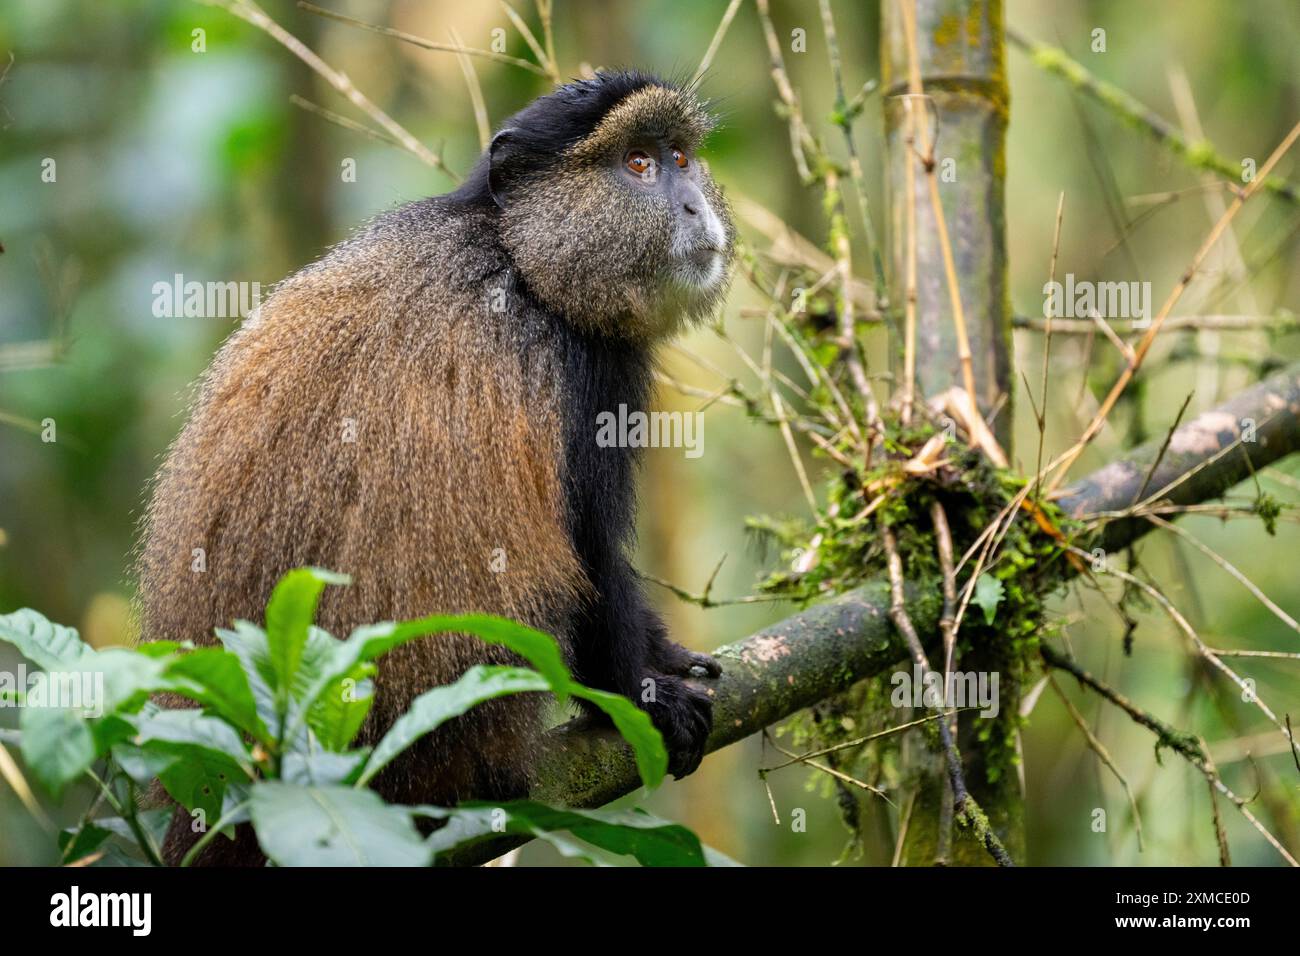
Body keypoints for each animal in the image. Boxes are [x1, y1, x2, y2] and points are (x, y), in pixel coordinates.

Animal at [137, 70, 735, 865]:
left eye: (680, 158)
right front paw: (647, 690)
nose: (695, 203)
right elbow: (588, 557)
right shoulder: (581, 376)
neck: (520, 257)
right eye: (637, 163)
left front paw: (666, 658)